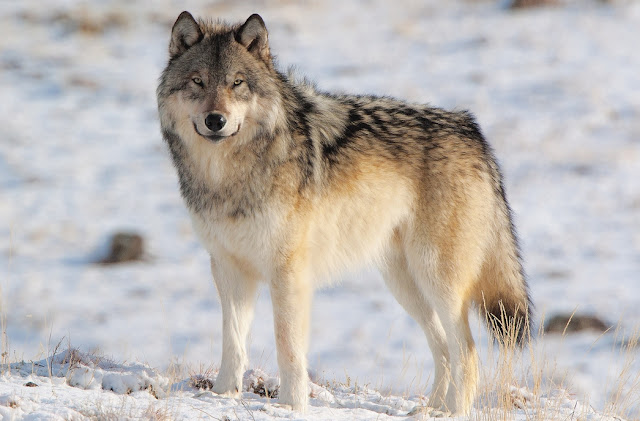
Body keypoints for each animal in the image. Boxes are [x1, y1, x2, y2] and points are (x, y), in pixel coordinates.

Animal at [157, 11, 531, 416]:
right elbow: (233, 342)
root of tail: (472, 131)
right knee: (444, 348)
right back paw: (430, 410)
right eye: (198, 81)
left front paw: (291, 405)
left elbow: (288, 346)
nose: (215, 120)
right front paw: (224, 395)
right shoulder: (228, 268)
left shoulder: (288, 272)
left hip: (438, 278)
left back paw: (454, 412)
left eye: (237, 83)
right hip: (405, 283)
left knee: (468, 351)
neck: (228, 176)